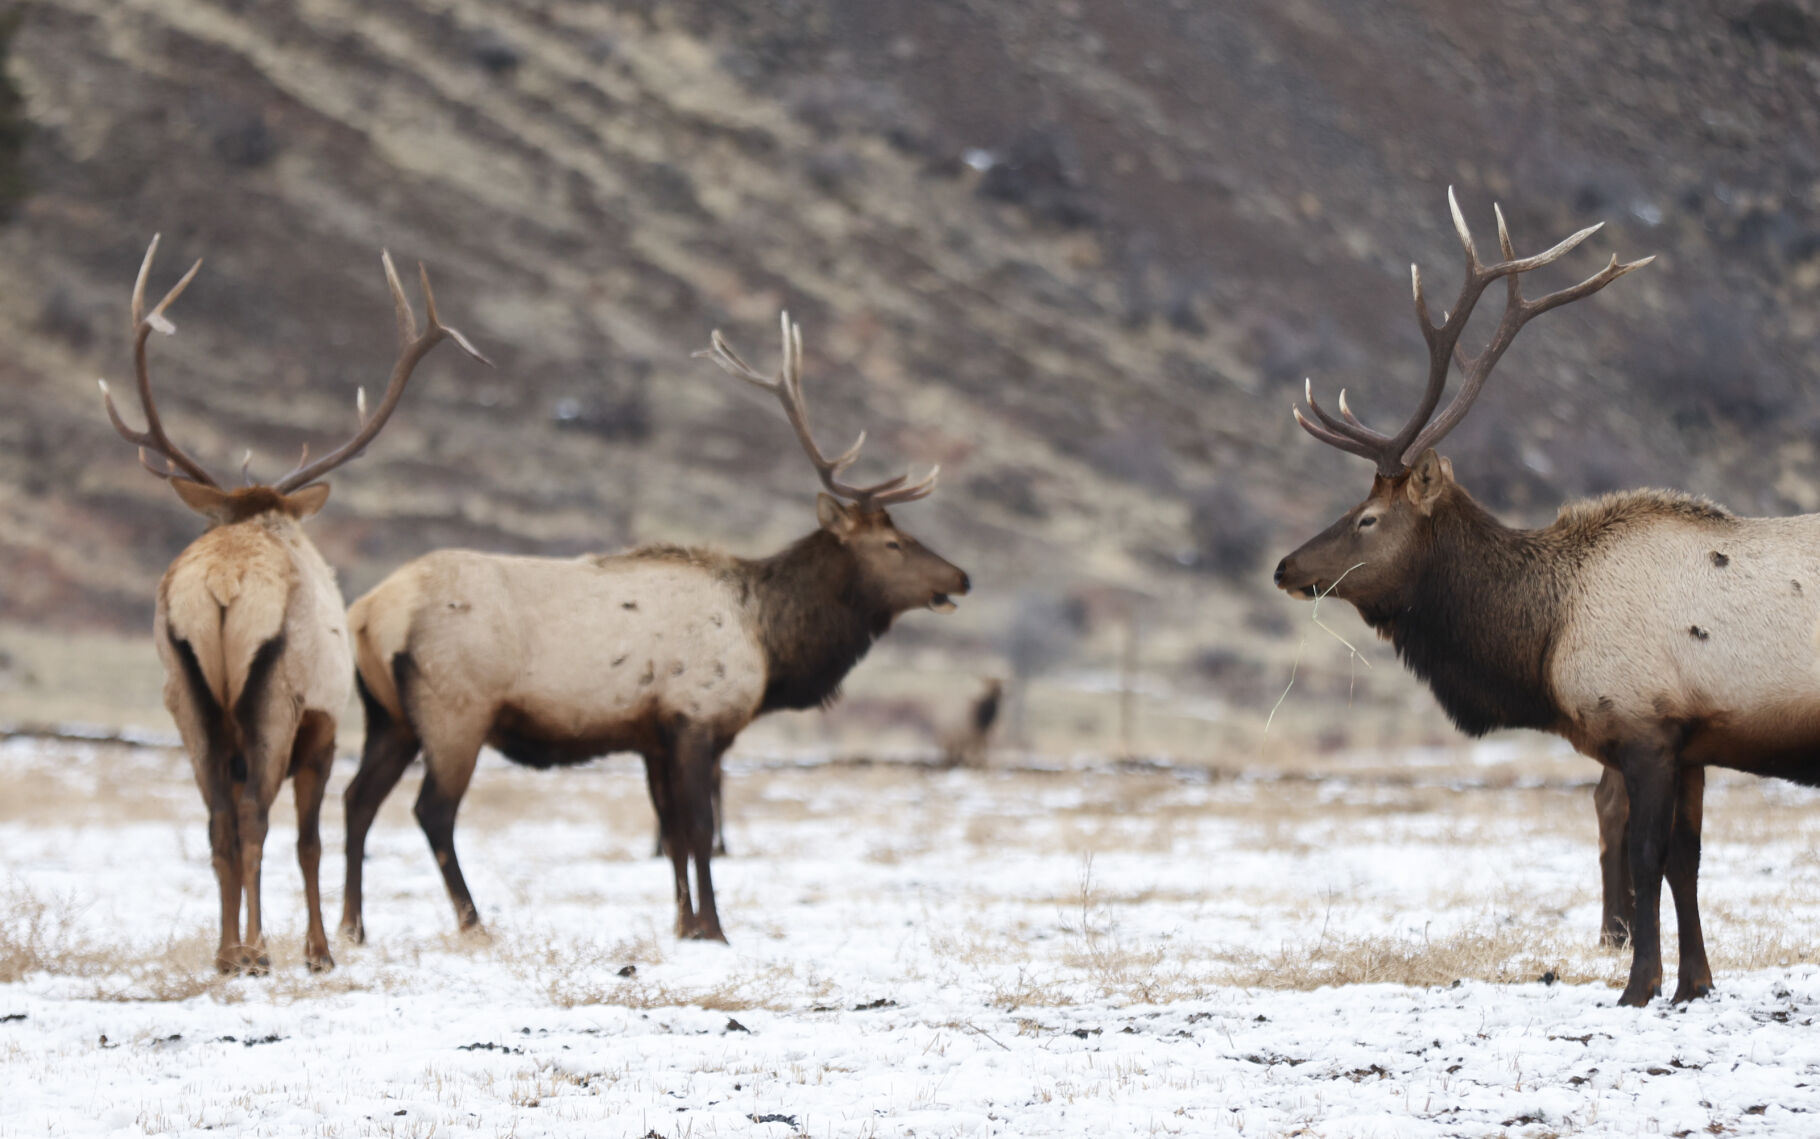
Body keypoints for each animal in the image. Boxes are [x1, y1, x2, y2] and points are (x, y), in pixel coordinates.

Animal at [99, 235, 486, 974]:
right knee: (255, 814)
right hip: (273, 696)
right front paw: (316, 949)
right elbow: (309, 839)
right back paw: (254, 951)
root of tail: (223, 584)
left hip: (189, 699)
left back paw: (227, 951)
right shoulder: (324, 721)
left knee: (219, 817)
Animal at [338, 312, 970, 944]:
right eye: (893, 543)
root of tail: (367, 610)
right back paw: (472, 922)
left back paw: (353, 927)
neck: (769, 642)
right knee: (432, 811)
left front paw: (683, 923)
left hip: (388, 717)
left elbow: (669, 836)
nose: (962, 577)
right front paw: (713, 928)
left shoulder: (651, 735)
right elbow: (697, 830)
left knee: (355, 800)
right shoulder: (695, 718)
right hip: (455, 709)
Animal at [1271, 189, 1820, 1007]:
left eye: (1367, 518)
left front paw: (1638, 986)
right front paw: (1694, 984)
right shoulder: (1691, 742)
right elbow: (1687, 862)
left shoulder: (1644, 729)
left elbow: (1647, 857)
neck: (1543, 637)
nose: (1284, 566)